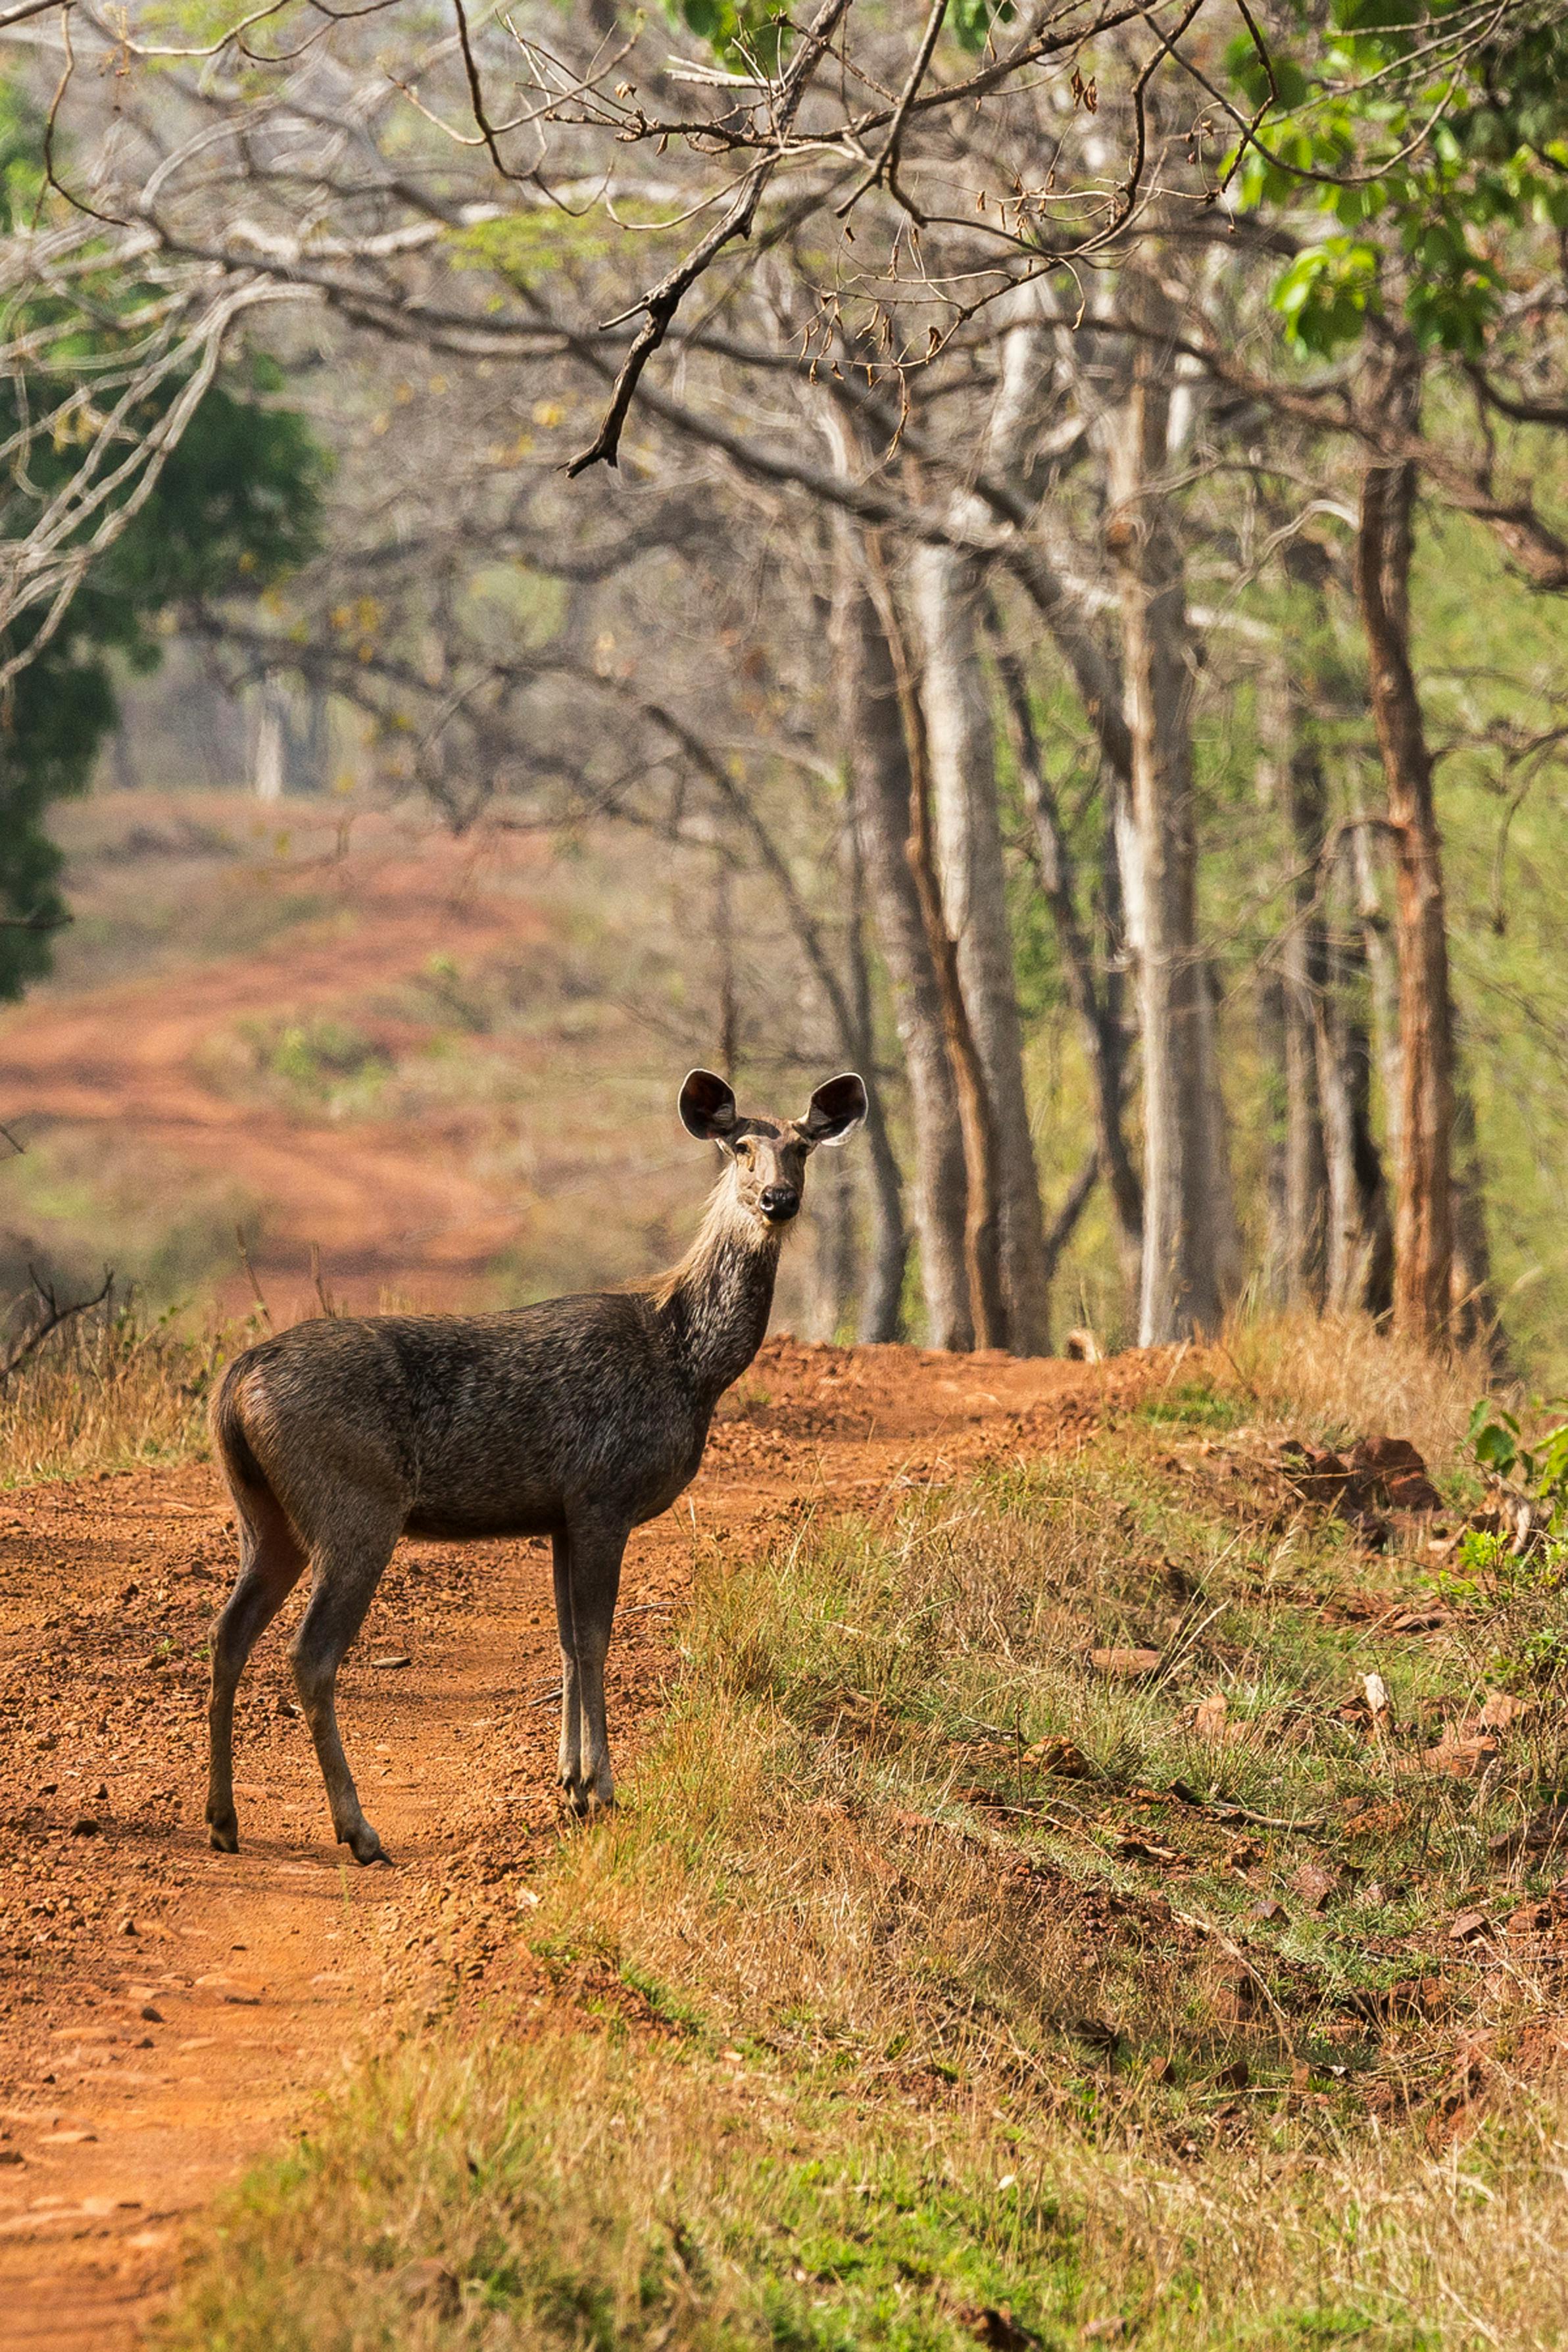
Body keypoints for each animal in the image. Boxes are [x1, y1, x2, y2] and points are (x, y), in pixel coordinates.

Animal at [203, 1068, 867, 1864]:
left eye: (801, 1147)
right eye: (739, 1146)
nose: (778, 1199)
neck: (687, 1364)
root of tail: (237, 1382)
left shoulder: (559, 1513)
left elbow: (566, 1639)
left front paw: (569, 1782)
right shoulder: (603, 1493)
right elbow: (594, 1637)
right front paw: (601, 1788)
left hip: (263, 1515)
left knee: (228, 1633)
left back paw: (223, 1821)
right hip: (354, 1506)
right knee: (310, 1653)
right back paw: (357, 1831)